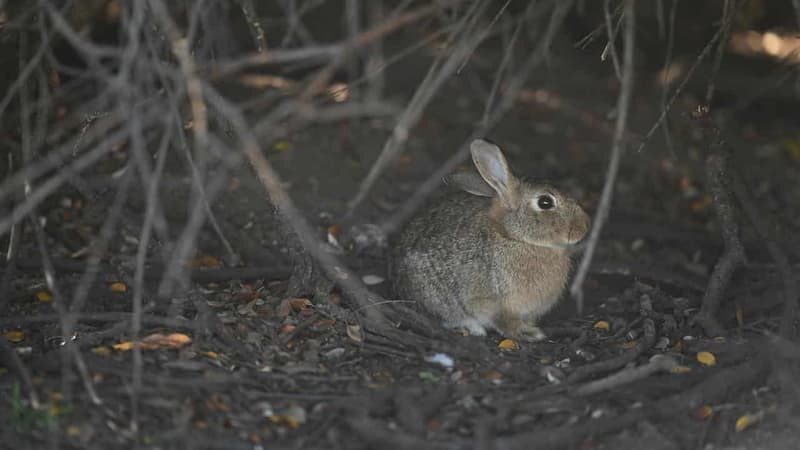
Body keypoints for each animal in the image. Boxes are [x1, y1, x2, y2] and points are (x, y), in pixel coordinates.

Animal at [390, 139, 590, 341]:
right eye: (545, 202)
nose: (585, 226)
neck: (513, 237)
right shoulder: (493, 302)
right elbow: (502, 321)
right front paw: (528, 333)